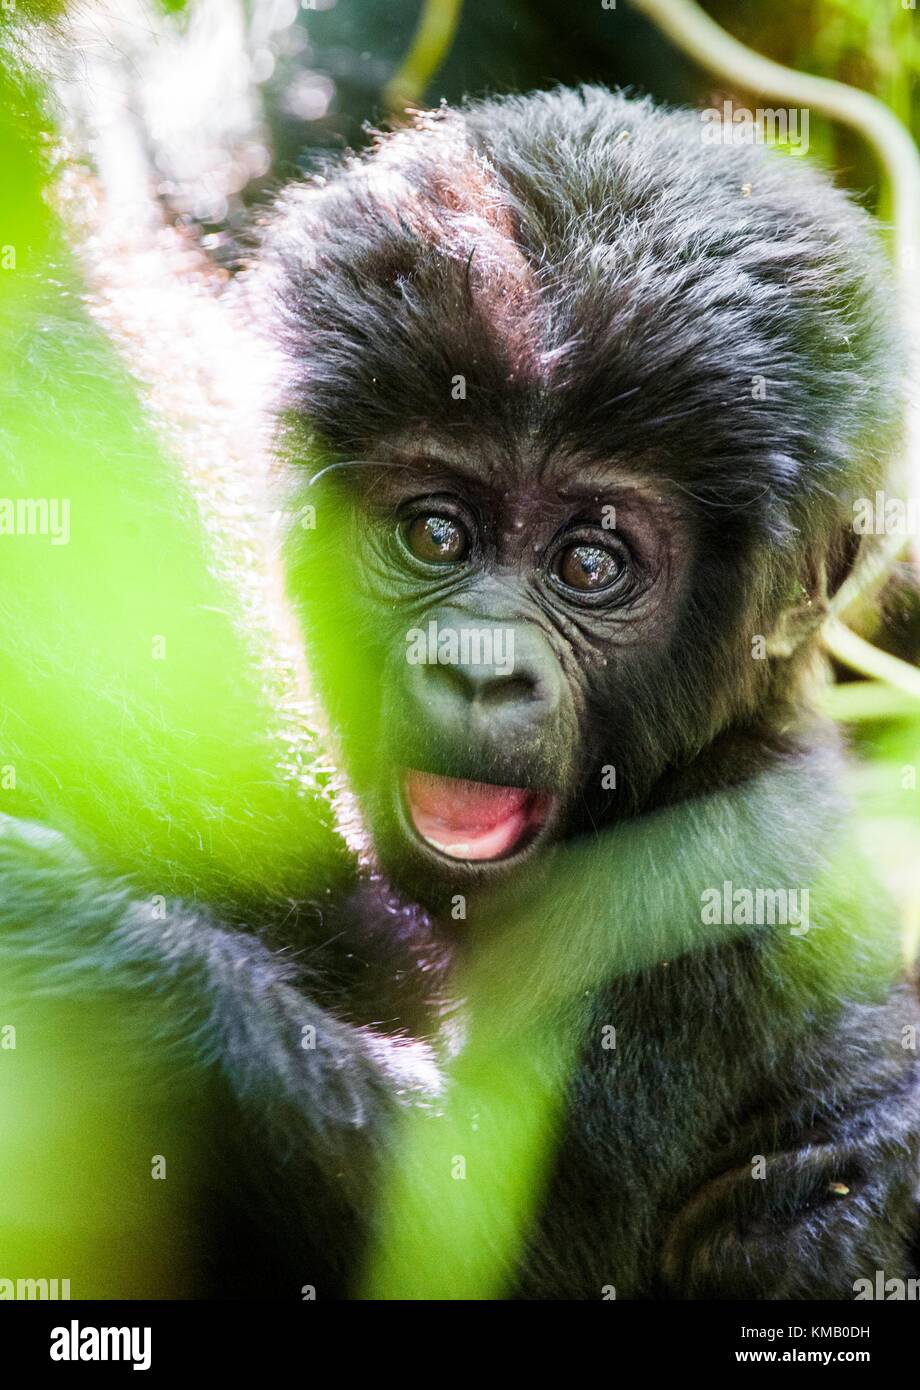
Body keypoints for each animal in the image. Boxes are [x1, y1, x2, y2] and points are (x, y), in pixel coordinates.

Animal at [1, 89, 920, 1301]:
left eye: (590, 564)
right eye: (436, 534)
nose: (481, 670)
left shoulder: (729, 869)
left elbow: (511, 1240)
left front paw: (73, 951)